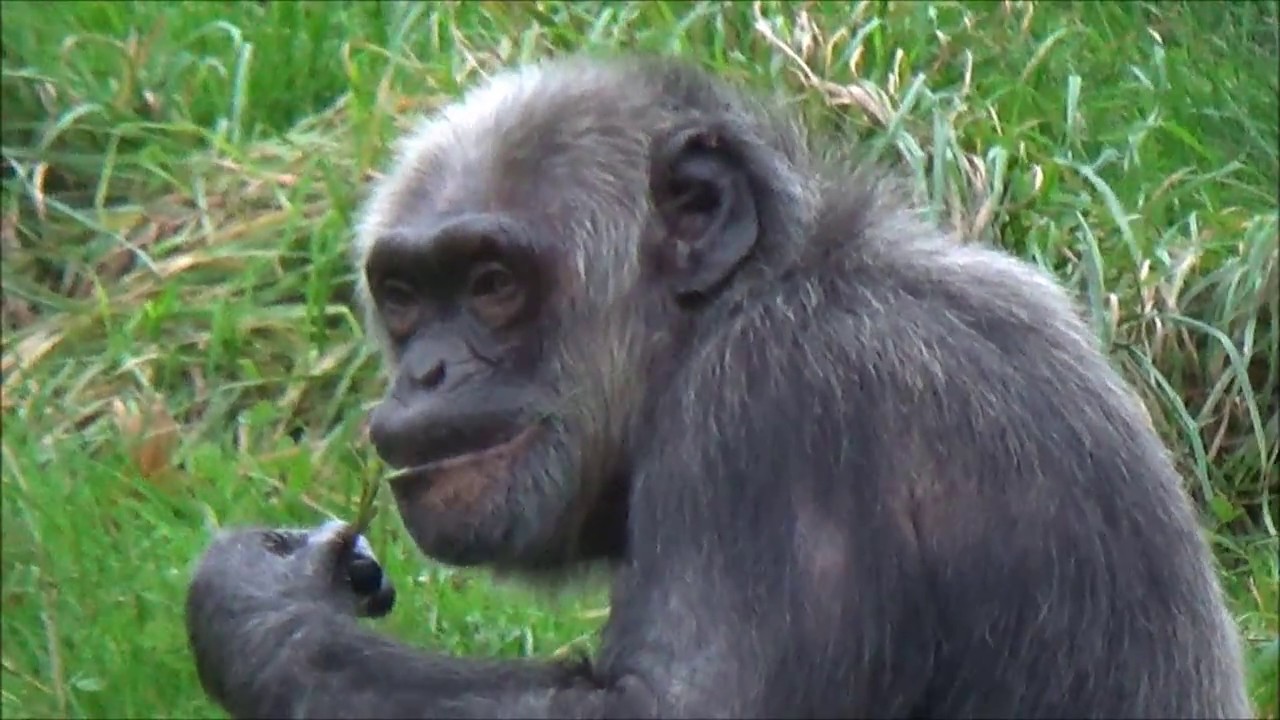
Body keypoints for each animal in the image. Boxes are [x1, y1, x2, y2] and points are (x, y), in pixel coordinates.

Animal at [184, 53, 1253, 719]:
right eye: (405, 293)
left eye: (490, 283)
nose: (428, 368)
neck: (722, 318)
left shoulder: (775, 420)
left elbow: (681, 708)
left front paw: (261, 603)